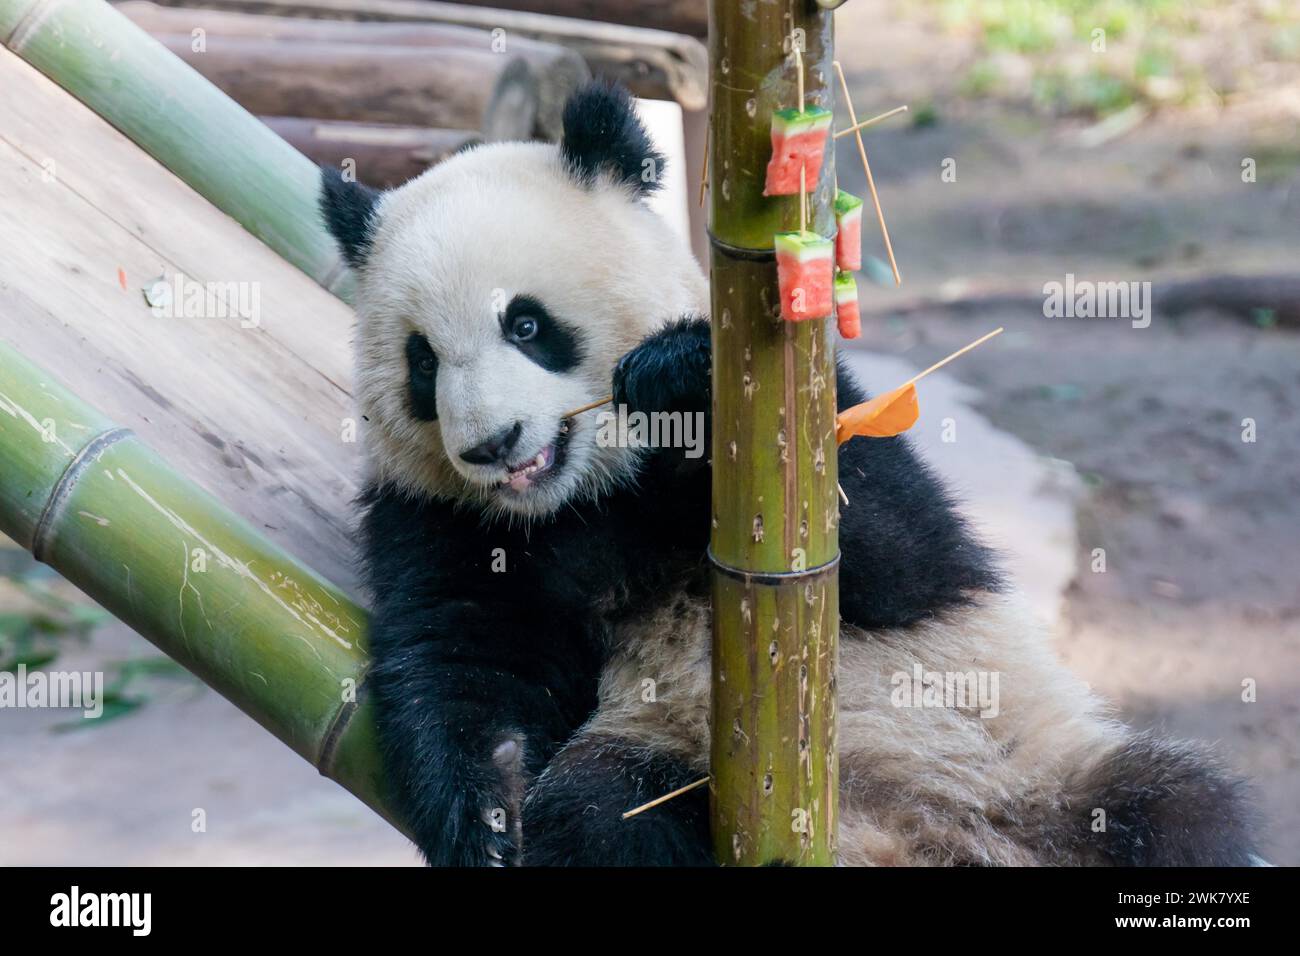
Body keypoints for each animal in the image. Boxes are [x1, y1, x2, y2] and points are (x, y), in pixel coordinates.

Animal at [319, 81, 1258, 867]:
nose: (493, 444)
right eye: (421, 361)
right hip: (669, 753)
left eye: (524, 323)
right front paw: (490, 825)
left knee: (1179, 809)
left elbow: (890, 553)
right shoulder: (441, 521)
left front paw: (680, 372)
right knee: (602, 810)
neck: (587, 498)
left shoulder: (822, 412)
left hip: (1034, 768)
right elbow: (464, 663)